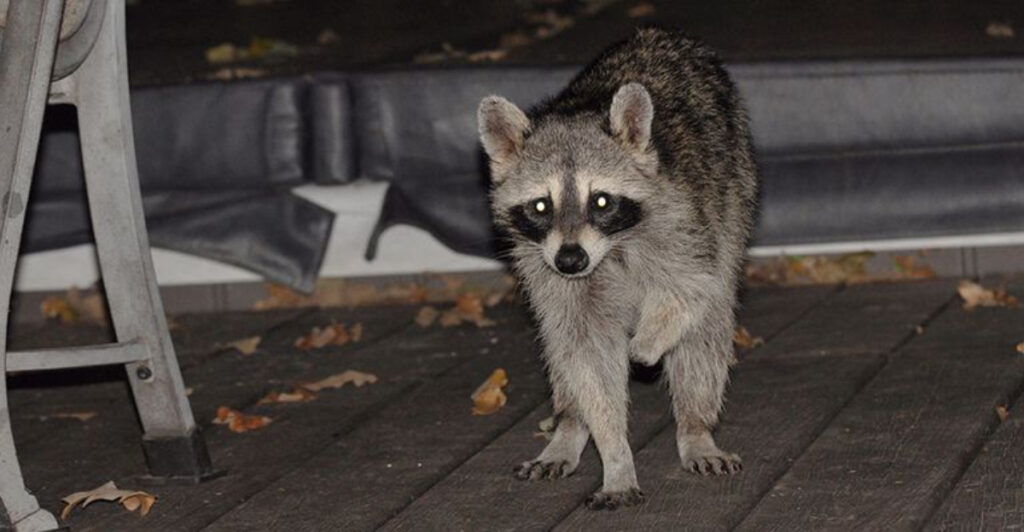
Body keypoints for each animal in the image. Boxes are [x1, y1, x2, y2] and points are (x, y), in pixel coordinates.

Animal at [478, 28, 758, 509]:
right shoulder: (547, 269)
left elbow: (695, 287)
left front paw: (647, 342)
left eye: (602, 201)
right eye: (540, 206)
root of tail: (662, 35)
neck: (607, 251)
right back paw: (570, 425)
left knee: (707, 332)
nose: (571, 259)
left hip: (736, 182)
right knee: (560, 349)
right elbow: (584, 357)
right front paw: (614, 454)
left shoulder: (685, 215)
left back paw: (695, 425)